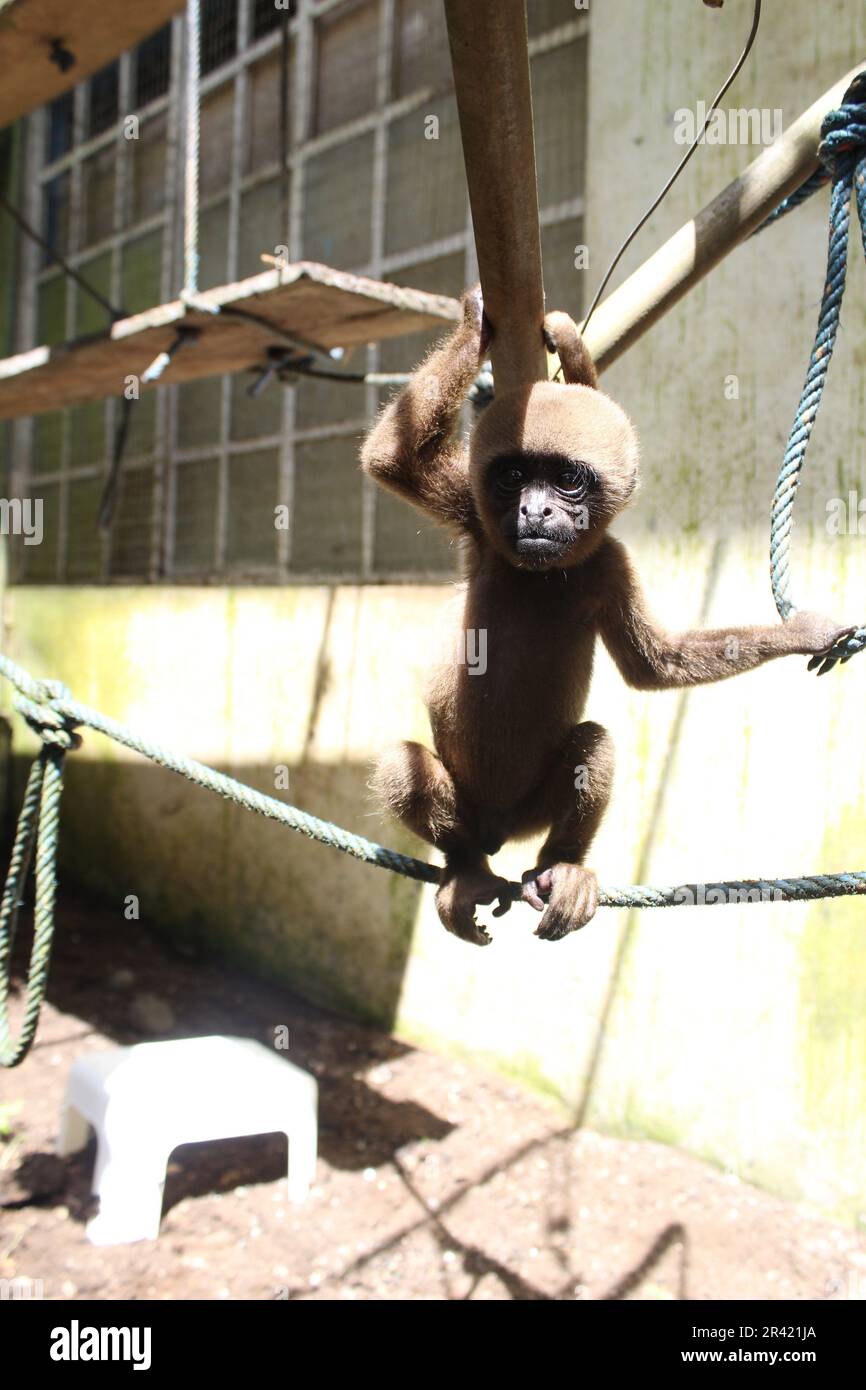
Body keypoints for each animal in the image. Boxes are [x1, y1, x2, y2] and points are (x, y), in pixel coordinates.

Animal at [360, 288, 853, 947]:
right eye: (514, 476)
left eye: (568, 479)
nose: (535, 510)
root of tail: (499, 828)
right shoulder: (477, 519)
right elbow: (391, 459)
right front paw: (475, 320)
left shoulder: (608, 561)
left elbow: (656, 664)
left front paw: (800, 634)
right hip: (468, 806)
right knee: (402, 767)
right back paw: (467, 868)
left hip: (534, 814)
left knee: (593, 745)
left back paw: (560, 868)